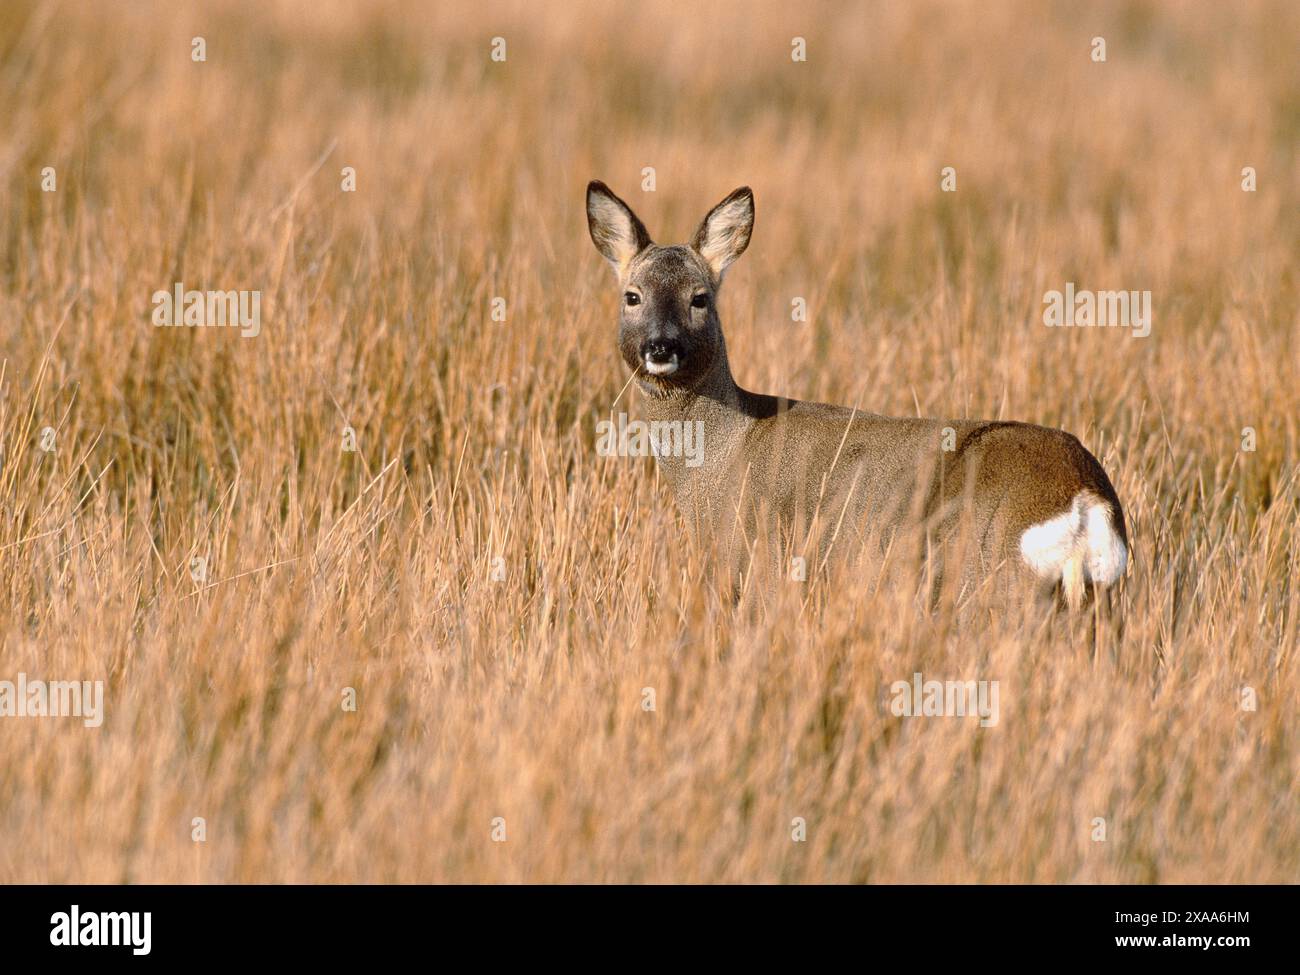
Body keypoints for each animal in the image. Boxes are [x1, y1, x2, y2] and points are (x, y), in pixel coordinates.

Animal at [586, 180, 1128, 609]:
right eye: (632, 296)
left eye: (700, 297)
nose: (661, 347)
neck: (722, 455)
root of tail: (1085, 499)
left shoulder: (761, 565)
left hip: (989, 584)